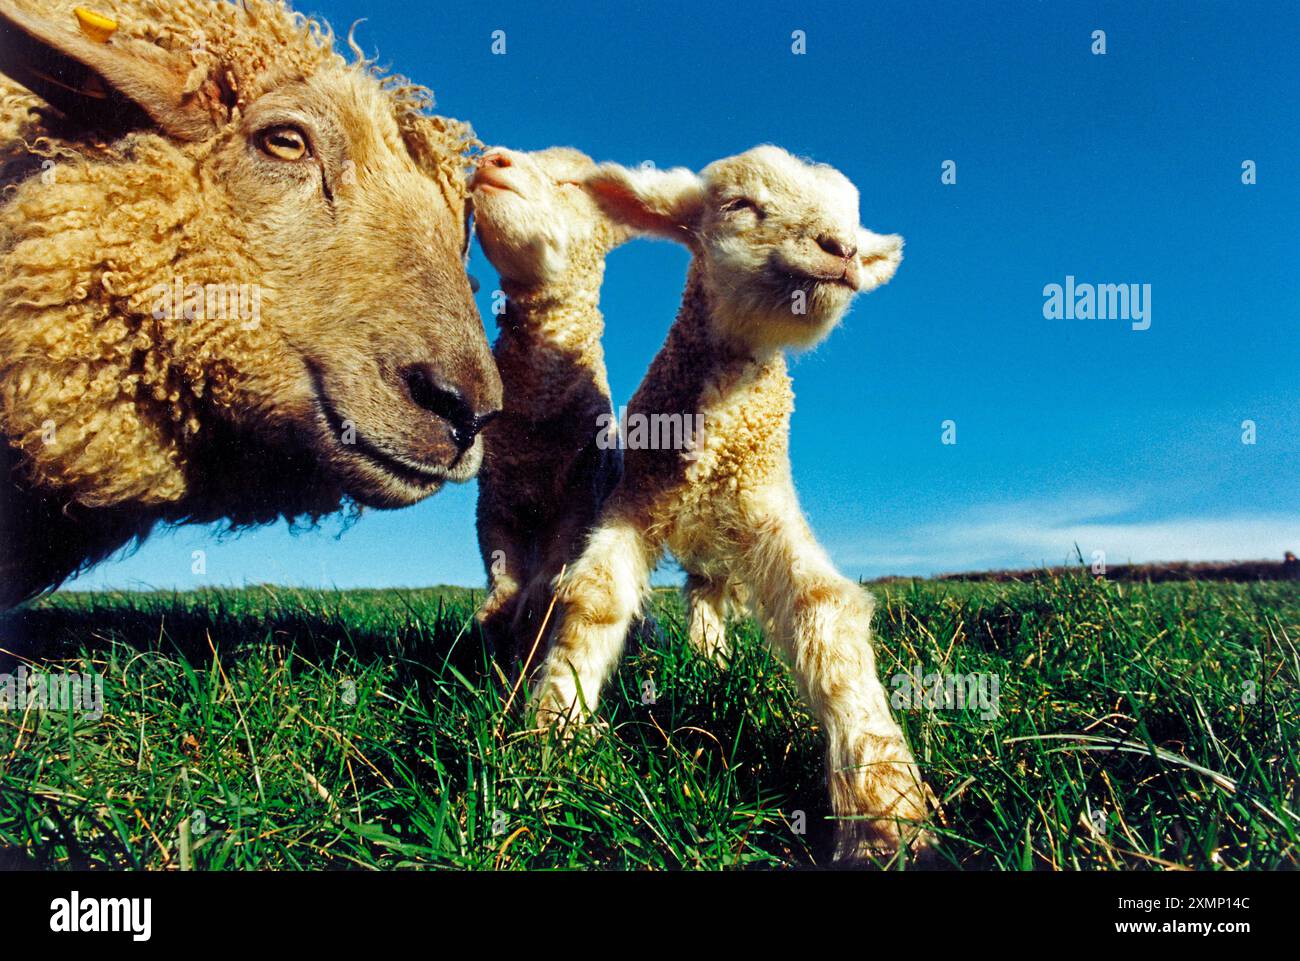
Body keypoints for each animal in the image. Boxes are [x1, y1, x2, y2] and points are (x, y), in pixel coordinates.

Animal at [468, 146, 632, 674]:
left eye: (575, 185)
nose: (492, 158)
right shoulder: (492, 496)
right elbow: (499, 555)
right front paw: (500, 609)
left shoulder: (584, 485)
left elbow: (562, 549)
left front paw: (541, 596)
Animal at [533, 145, 930, 863]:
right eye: (741, 204)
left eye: (850, 219)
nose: (842, 249)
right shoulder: (636, 499)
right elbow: (594, 597)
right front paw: (552, 740)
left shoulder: (765, 500)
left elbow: (822, 605)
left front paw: (886, 815)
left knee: (713, 591)